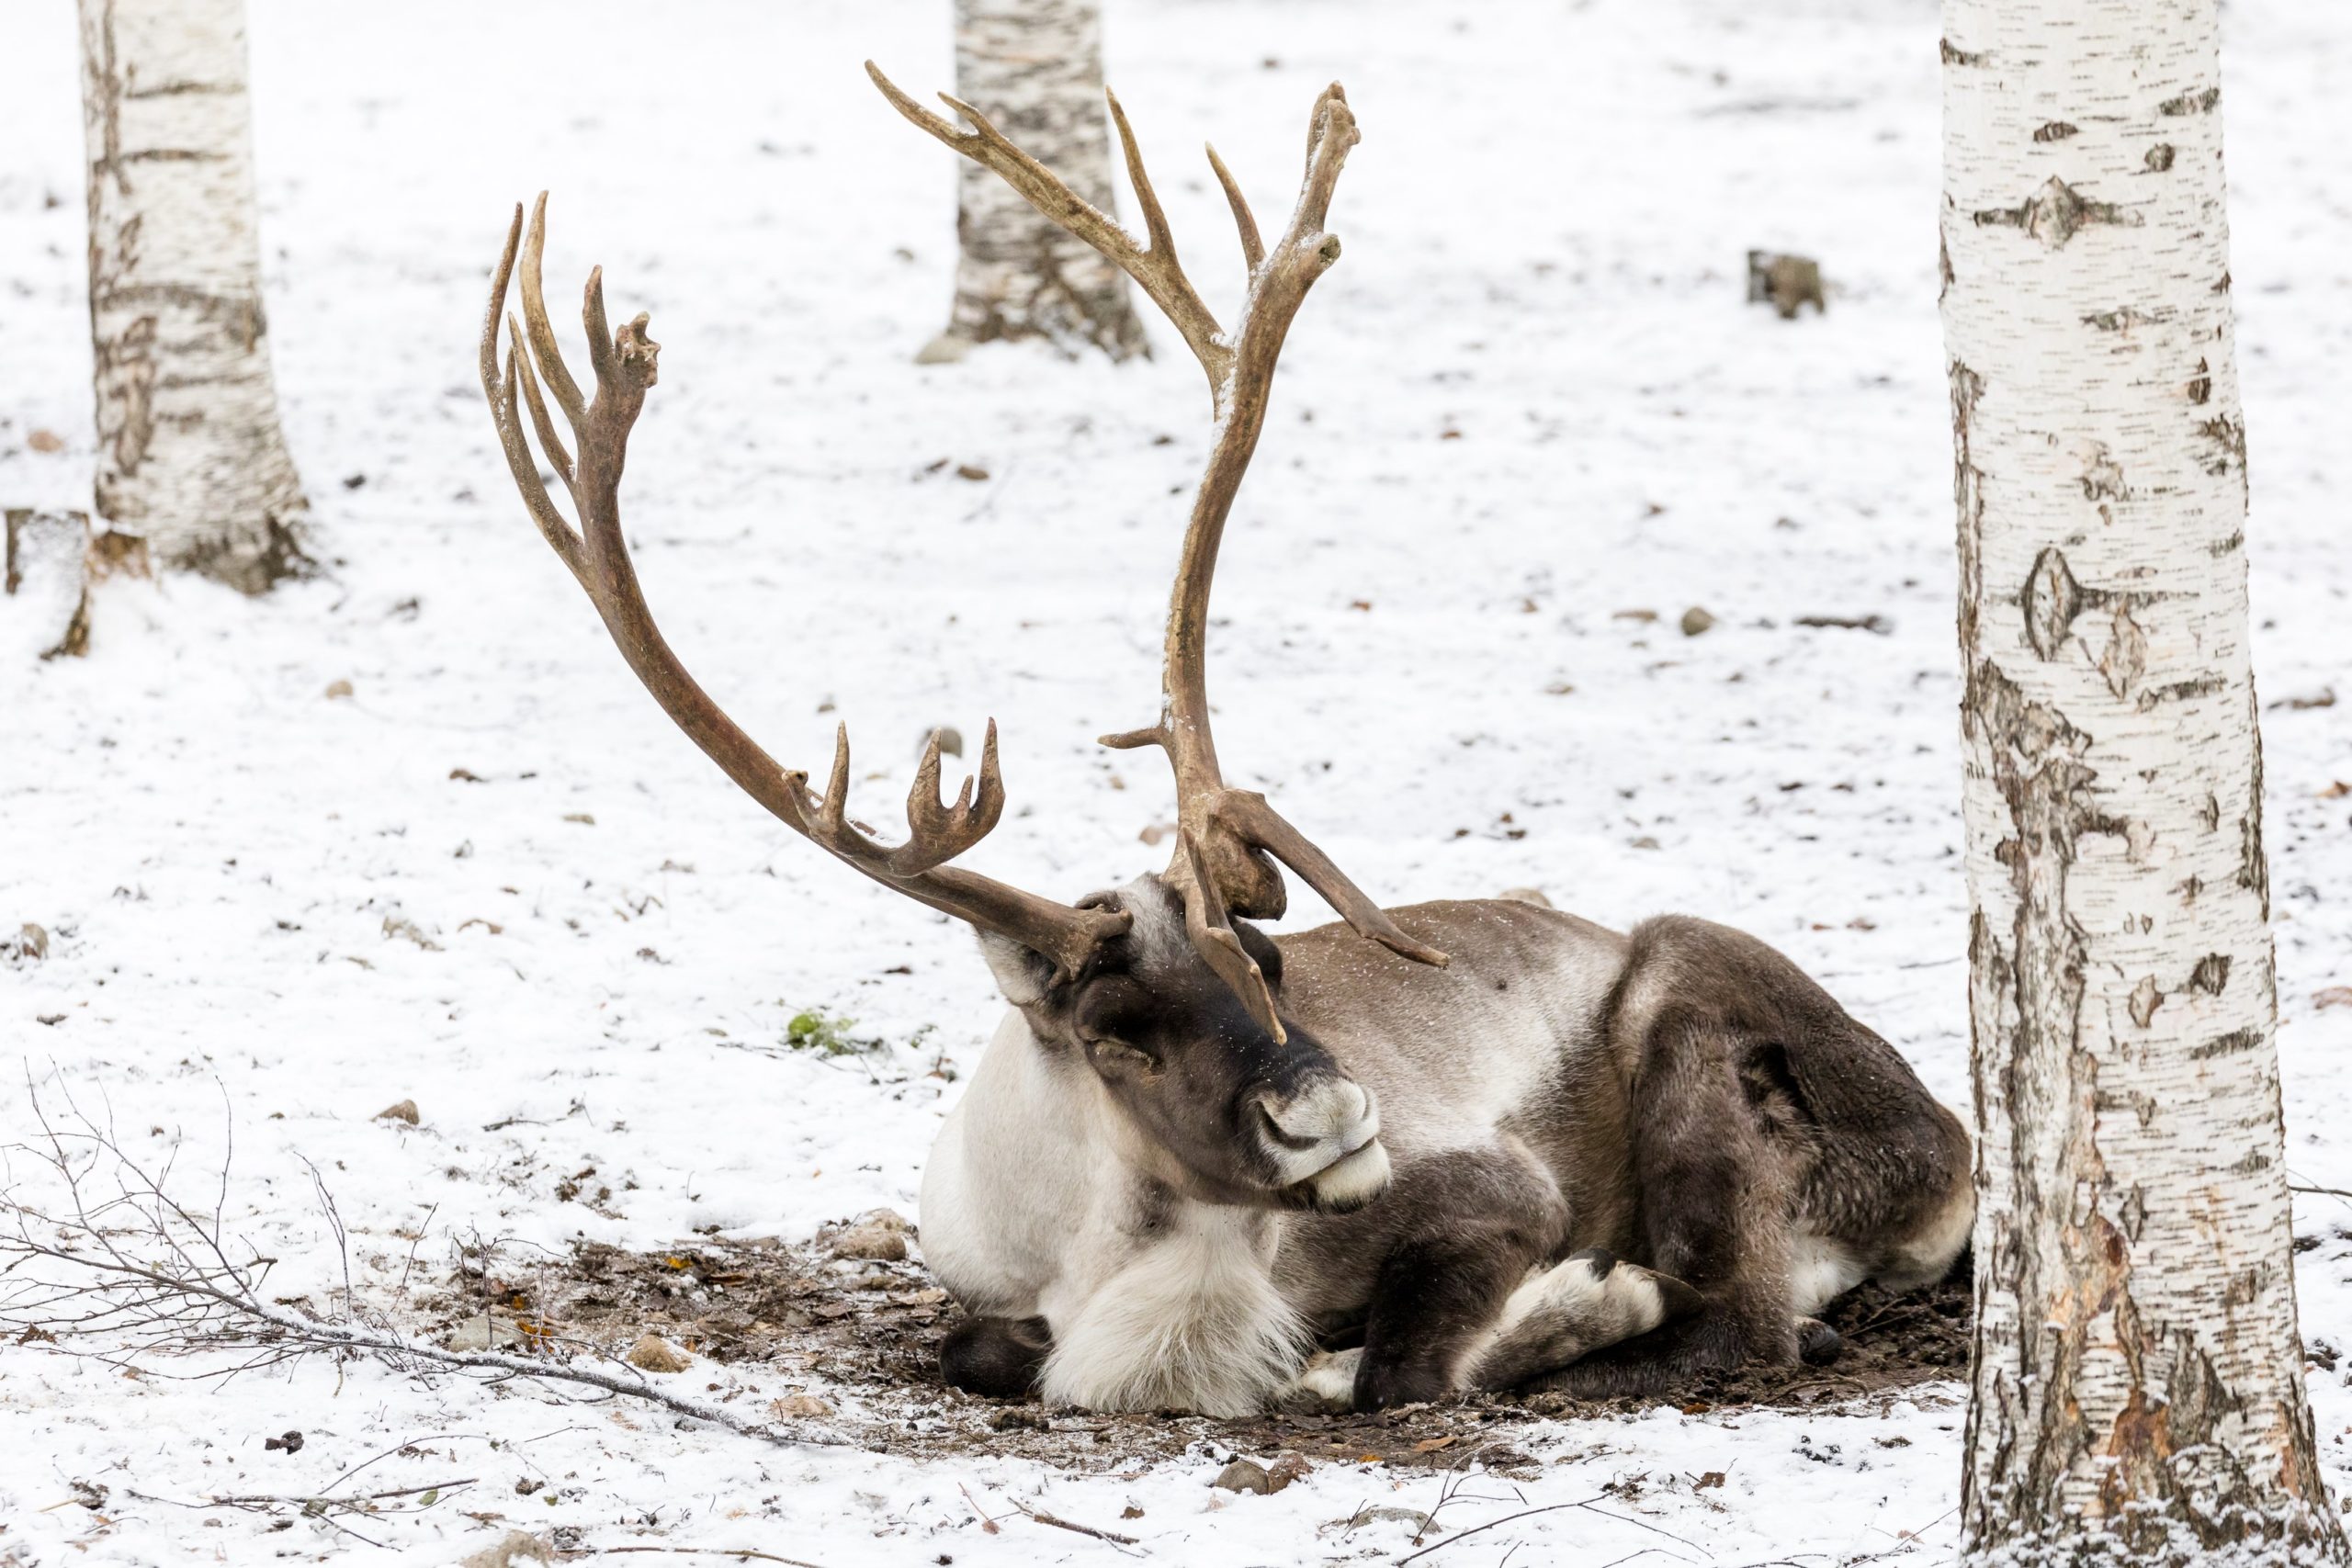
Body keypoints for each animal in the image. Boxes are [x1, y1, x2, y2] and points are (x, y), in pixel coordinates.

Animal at [476, 68, 1973, 1418]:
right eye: (1115, 1035)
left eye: (1266, 956)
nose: (1335, 1116)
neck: (1103, 1243)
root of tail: (1958, 1152)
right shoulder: (988, 1289)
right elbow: (983, 1351)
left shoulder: (1489, 1189)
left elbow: (1401, 1368)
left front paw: (1556, 1301)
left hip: (1687, 1002)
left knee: (1749, 1321)